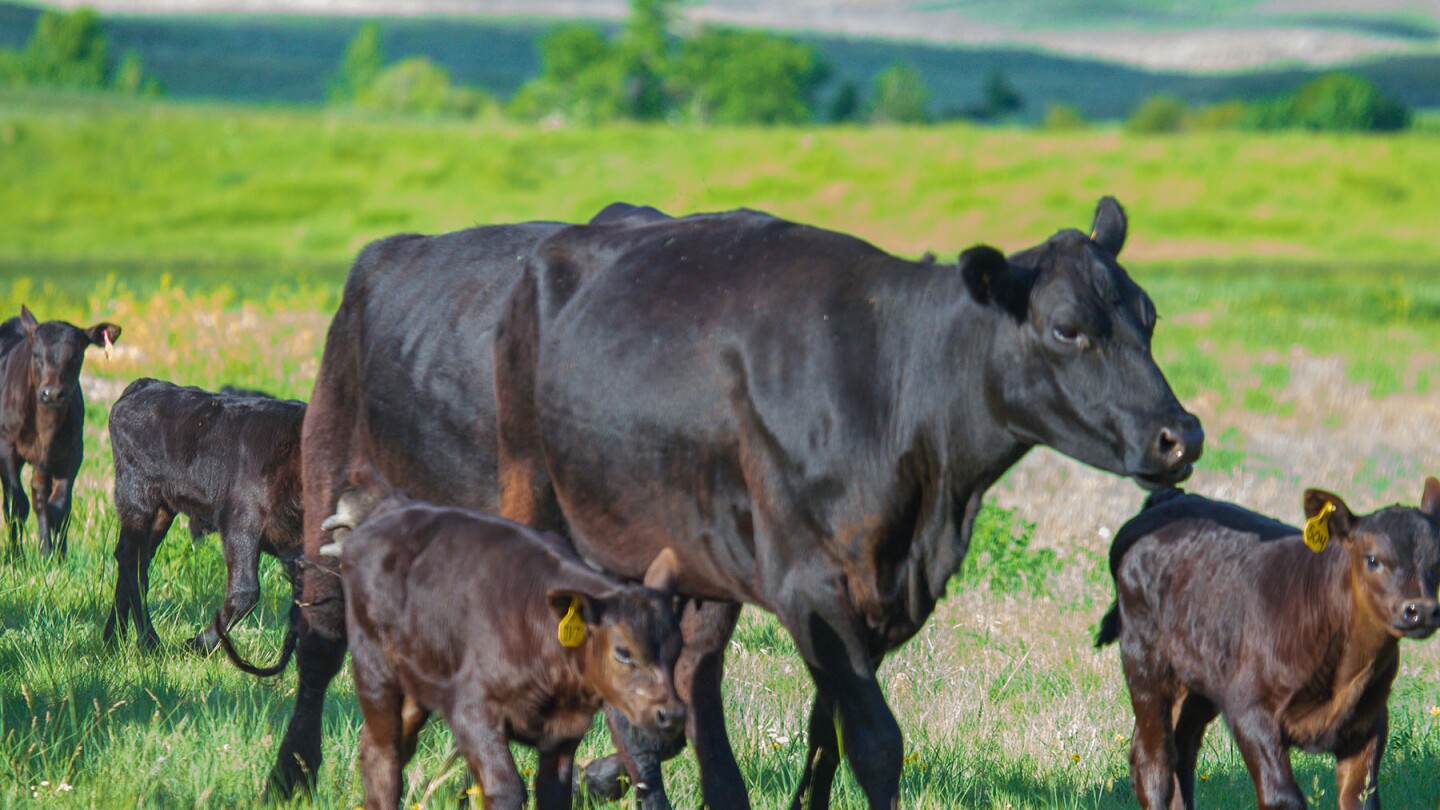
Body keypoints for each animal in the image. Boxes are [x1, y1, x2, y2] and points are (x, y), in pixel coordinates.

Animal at [0, 305, 121, 557]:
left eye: (75, 356)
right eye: (36, 355)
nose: (53, 393)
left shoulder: (72, 453)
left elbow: (59, 506)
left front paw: (54, 554)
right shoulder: (5, 447)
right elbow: (17, 504)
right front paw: (17, 557)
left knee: (40, 494)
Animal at [104, 378, 304, 651]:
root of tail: (146, 385)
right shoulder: (241, 523)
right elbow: (245, 592)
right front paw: (197, 643)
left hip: (162, 510)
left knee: (136, 558)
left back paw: (114, 637)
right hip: (137, 497)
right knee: (131, 559)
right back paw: (148, 640)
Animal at [326, 488, 686, 810]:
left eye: (677, 648)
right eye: (623, 652)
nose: (672, 714)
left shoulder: (564, 732)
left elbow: (553, 793)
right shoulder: (471, 711)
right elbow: (506, 790)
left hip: (419, 679)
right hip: (373, 668)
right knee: (382, 756)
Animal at [1096, 480, 1440, 810]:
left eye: (1436, 562)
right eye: (1372, 559)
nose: (1420, 610)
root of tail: (1168, 501)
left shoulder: (1370, 718)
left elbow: (1360, 796)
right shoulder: (1249, 707)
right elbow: (1282, 797)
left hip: (1199, 677)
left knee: (1181, 749)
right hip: (1143, 659)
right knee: (1154, 761)